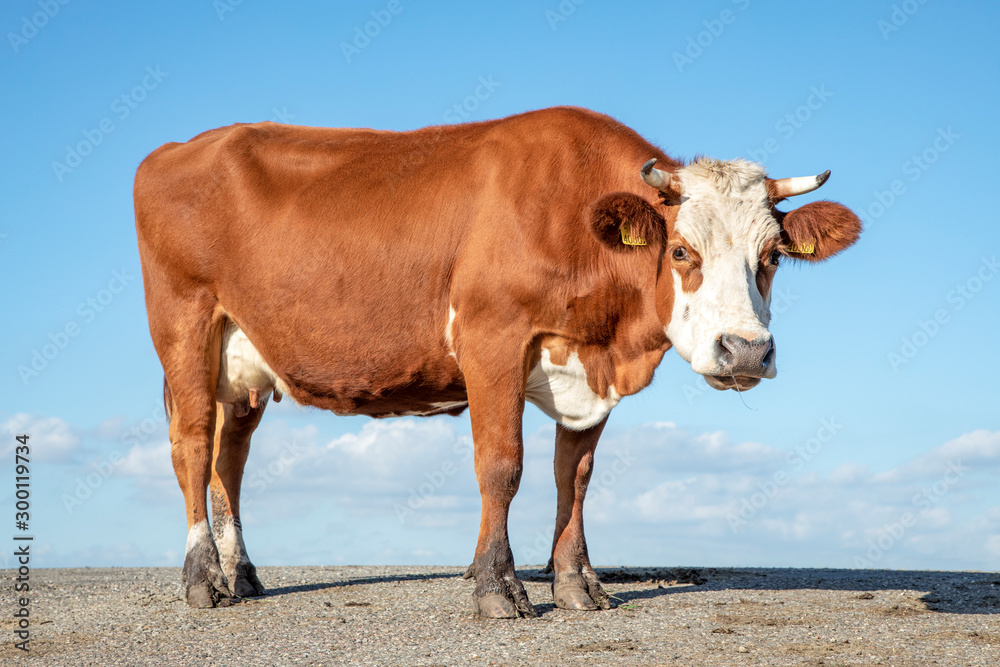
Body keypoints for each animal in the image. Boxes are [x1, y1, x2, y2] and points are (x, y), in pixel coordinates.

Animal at [133, 106, 860, 618]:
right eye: (682, 251)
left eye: (773, 256)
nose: (747, 349)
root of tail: (180, 148)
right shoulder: (492, 339)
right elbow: (501, 467)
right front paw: (497, 587)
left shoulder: (587, 371)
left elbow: (576, 477)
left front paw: (576, 583)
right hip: (185, 326)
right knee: (192, 446)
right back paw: (203, 578)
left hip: (243, 364)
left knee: (229, 457)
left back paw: (242, 573)